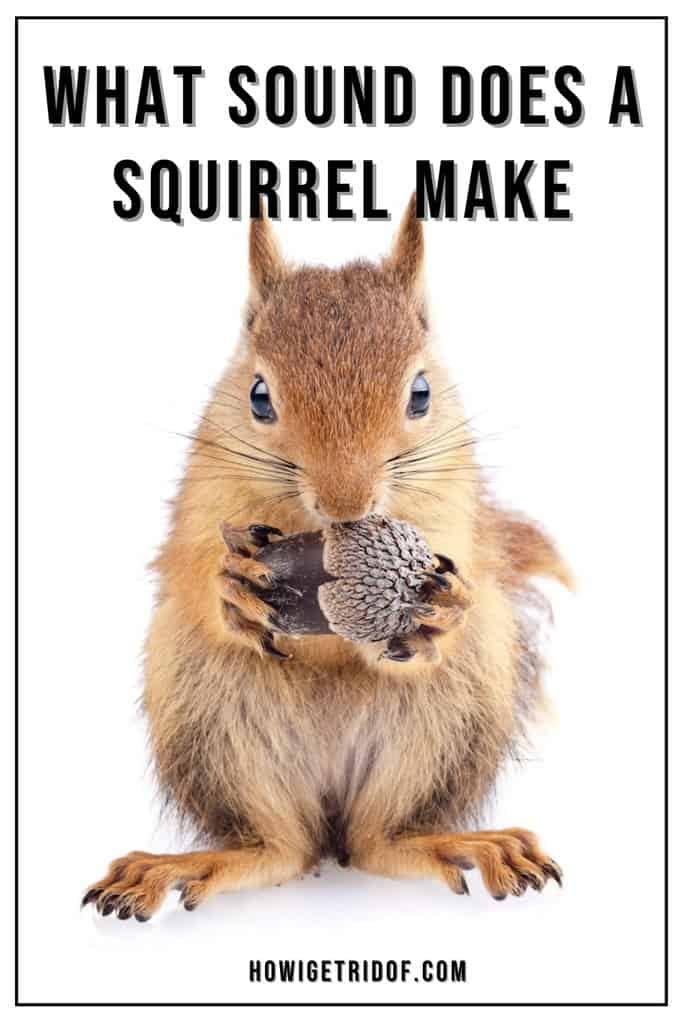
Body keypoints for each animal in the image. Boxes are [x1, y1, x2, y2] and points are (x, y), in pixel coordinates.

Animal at [83, 196, 572, 921]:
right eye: (258, 396)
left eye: (421, 394)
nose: (346, 501)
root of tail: (331, 805)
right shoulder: (201, 495)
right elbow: (188, 563)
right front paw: (231, 590)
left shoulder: (455, 503)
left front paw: (439, 613)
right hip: (210, 715)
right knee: (283, 848)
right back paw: (205, 861)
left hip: (453, 712)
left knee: (376, 839)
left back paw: (449, 843)